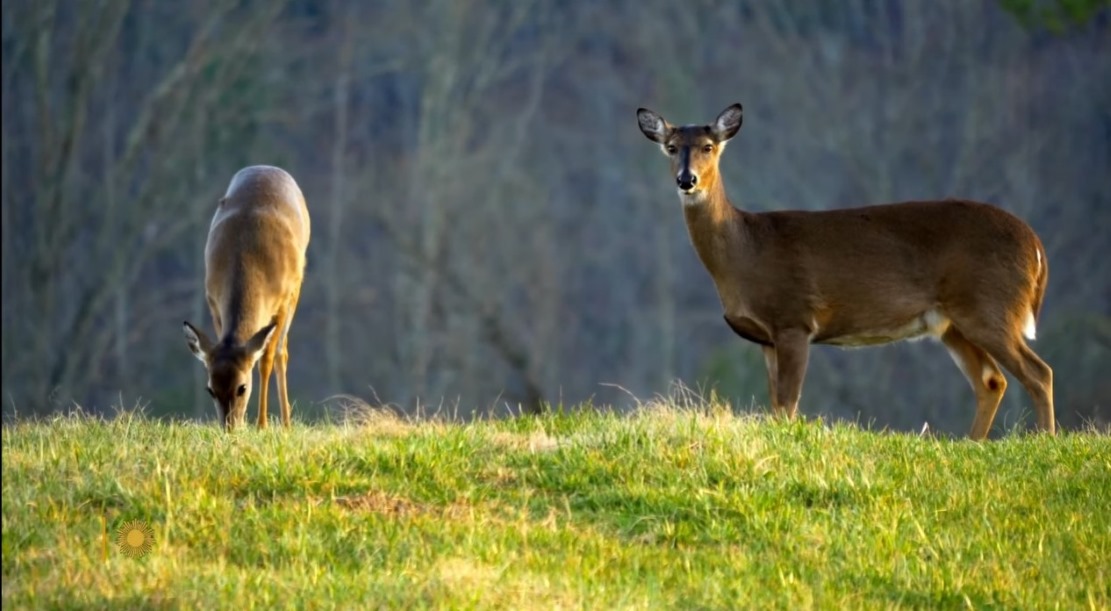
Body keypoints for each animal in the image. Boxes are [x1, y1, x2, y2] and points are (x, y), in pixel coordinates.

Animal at [183, 165, 311, 430]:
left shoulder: (283, 300)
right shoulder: (212, 300)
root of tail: (267, 168)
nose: (229, 427)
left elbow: (266, 359)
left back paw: (286, 424)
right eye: (210, 390)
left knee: (282, 352)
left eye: (242, 388)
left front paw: (262, 425)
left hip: (296, 288)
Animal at [636, 103, 1054, 440]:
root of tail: (1036, 245)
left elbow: (788, 403)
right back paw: (973, 443)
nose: (687, 179)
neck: (746, 251)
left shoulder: (795, 319)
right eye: (671, 147)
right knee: (992, 380)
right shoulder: (767, 338)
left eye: (709, 146)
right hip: (952, 322)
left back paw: (1045, 441)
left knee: (1038, 373)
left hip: (990, 304)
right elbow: (775, 404)